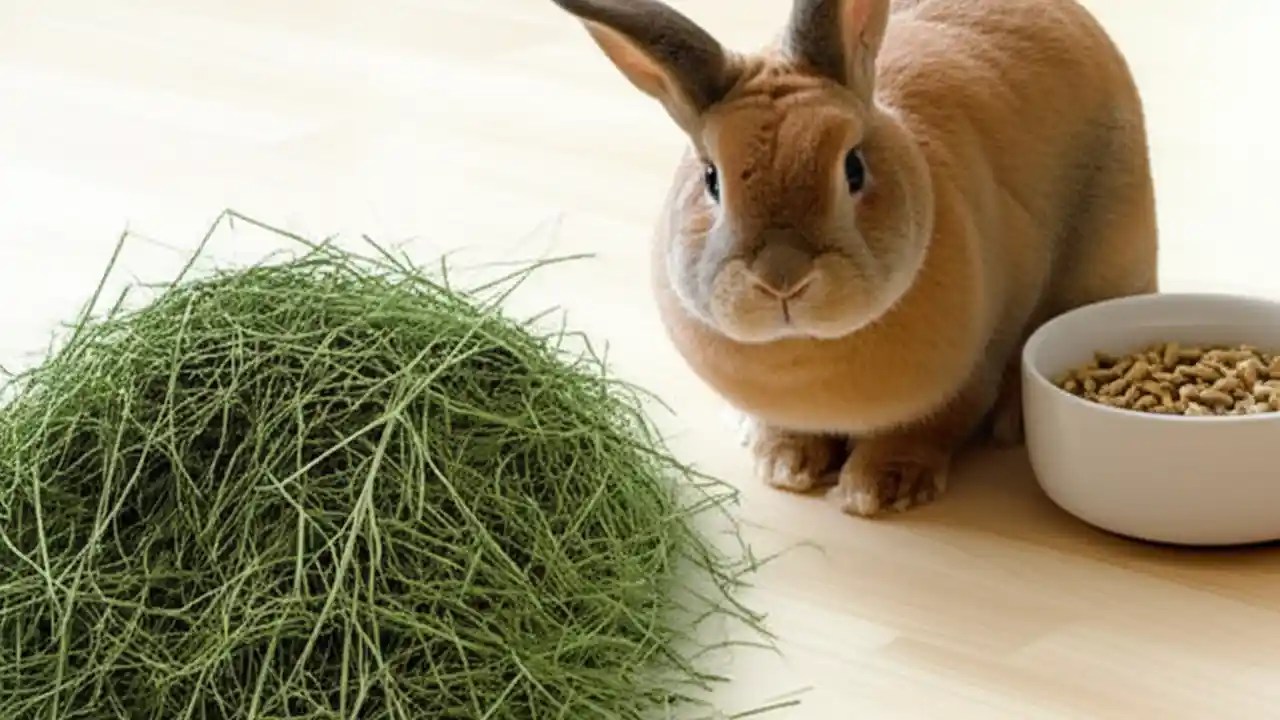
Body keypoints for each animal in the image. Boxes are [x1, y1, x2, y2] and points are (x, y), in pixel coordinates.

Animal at [548, 0, 1158, 516]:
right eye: (711, 179)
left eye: (854, 168)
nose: (782, 279)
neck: (803, 353)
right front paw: (782, 462)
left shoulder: (968, 376)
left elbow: (926, 429)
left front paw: (879, 488)